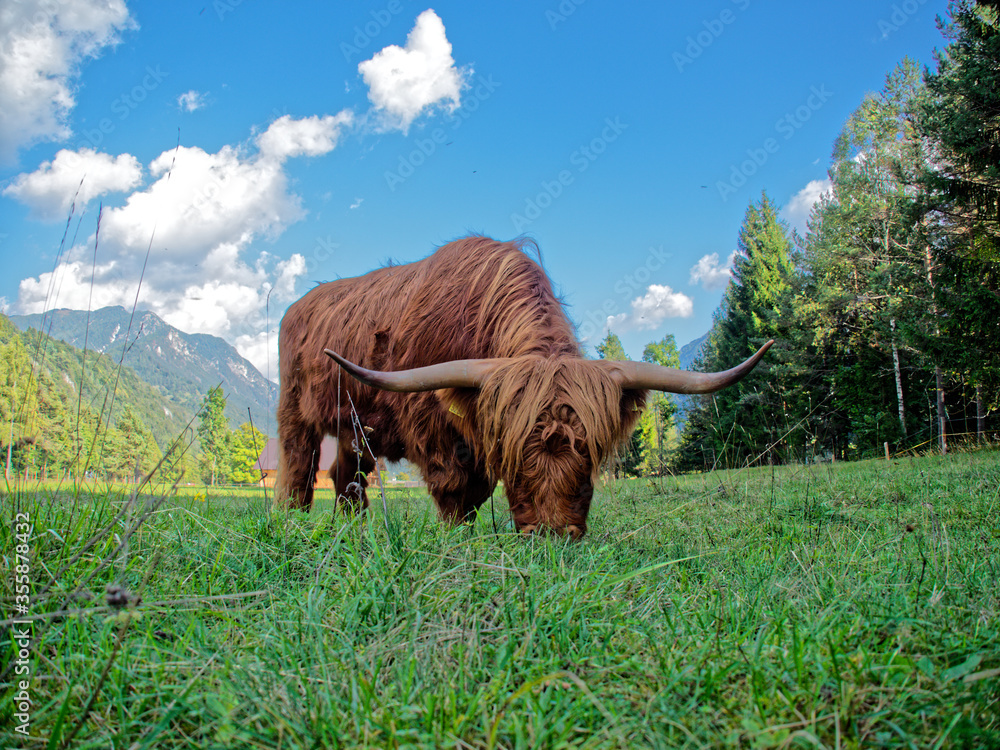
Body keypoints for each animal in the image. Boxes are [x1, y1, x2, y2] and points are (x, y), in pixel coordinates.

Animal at [275, 235, 772, 538]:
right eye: (514, 460)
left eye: (589, 457)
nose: (551, 536)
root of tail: (300, 303)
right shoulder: (433, 428)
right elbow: (455, 488)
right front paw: (457, 541)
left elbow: (476, 489)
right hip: (295, 410)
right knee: (299, 464)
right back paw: (291, 520)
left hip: (356, 425)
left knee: (345, 474)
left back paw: (352, 531)